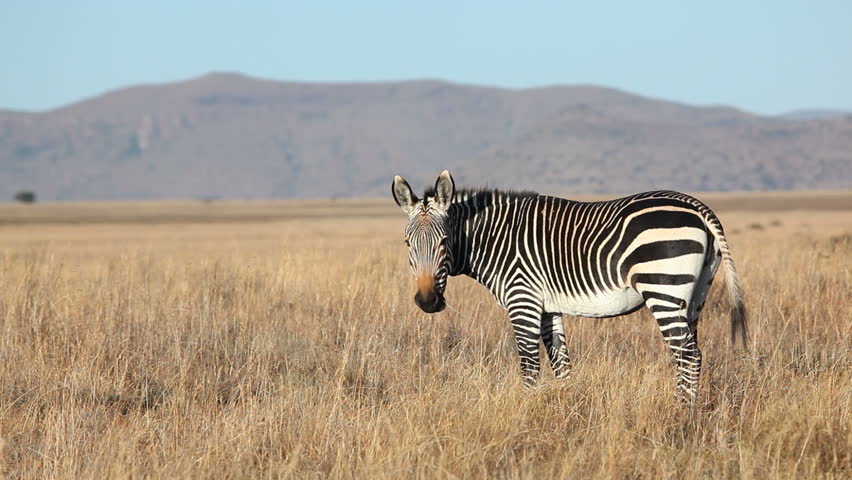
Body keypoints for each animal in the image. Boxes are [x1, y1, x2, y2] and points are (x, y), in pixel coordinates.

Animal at [392, 170, 747, 400]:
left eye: (444, 241)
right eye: (407, 244)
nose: (427, 301)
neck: (495, 240)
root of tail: (698, 206)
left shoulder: (522, 299)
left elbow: (530, 366)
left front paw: (528, 417)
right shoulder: (548, 308)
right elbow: (561, 364)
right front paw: (564, 412)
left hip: (663, 289)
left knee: (688, 355)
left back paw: (681, 416)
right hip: (695, 294)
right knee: (691, 354)